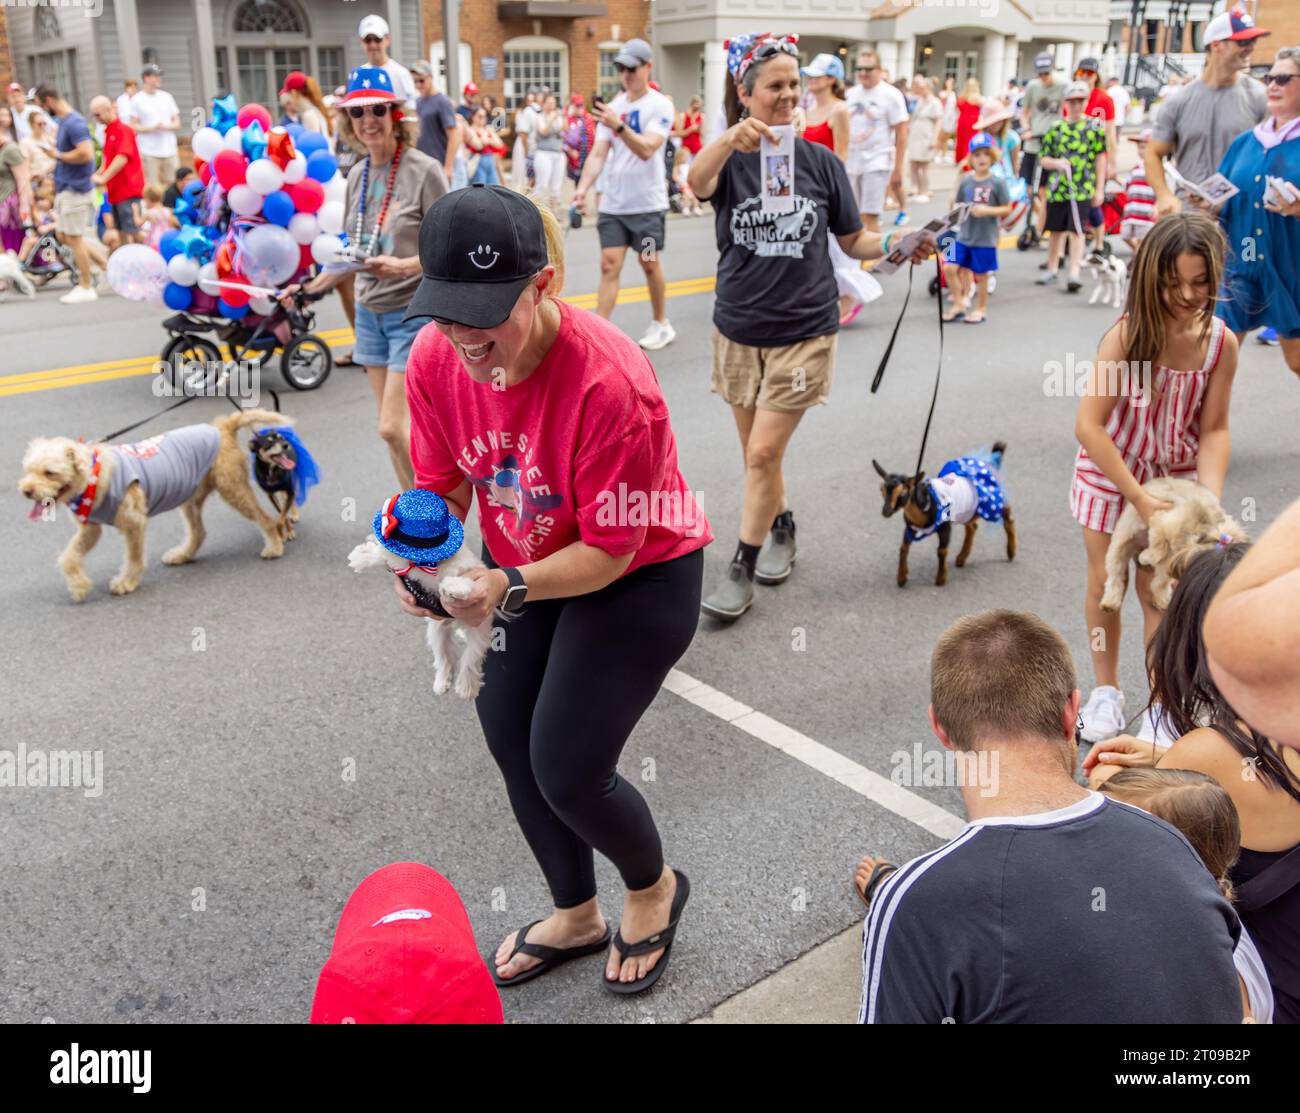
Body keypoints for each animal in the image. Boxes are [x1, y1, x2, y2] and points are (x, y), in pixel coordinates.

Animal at [348, 494, 493, 702]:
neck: (423, 563)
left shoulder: (468, 573)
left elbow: (458, 580)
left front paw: (452, 588)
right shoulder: (402, 564)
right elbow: (385, 558)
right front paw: (363, 557)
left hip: (478, 632)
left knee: (470, 660)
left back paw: (466, 686)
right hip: (436, 632)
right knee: (445, 658)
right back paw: (442, 682)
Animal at [1097, 473, 1248, 613]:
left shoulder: (1171, 558)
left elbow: (1161, 577)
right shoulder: (1160, 521)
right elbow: (1158, 548)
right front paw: (1146, 557)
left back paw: (1161, 598)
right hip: (1119, 545)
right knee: (1115, 575)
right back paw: (1110, 601)